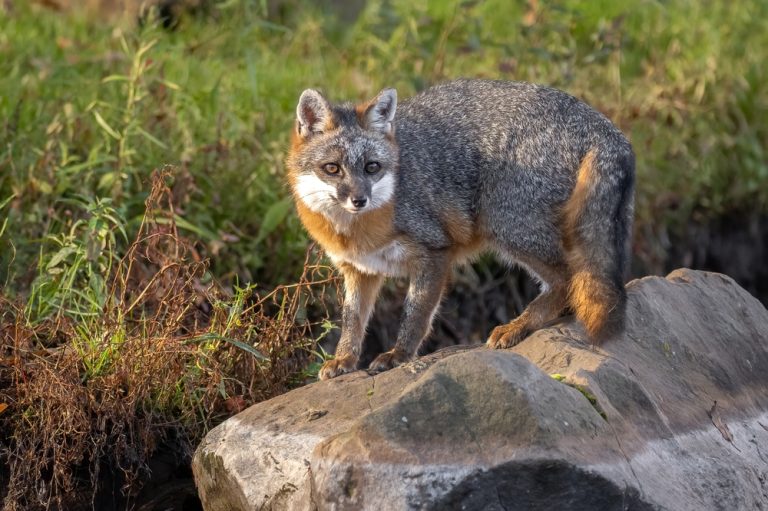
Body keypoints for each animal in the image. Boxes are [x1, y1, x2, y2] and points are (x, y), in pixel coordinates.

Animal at [286, 79, 634, 380]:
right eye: (332, 169)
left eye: (372, 167)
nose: (359, 200)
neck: (354, 232)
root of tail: (603, 125)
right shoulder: (360, 270)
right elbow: (352, 321)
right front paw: (344, 359)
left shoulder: (435, 252)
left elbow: (415, 313)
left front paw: (399, 355)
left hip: (504, 223)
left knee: (568, 278)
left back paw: (516, 326)